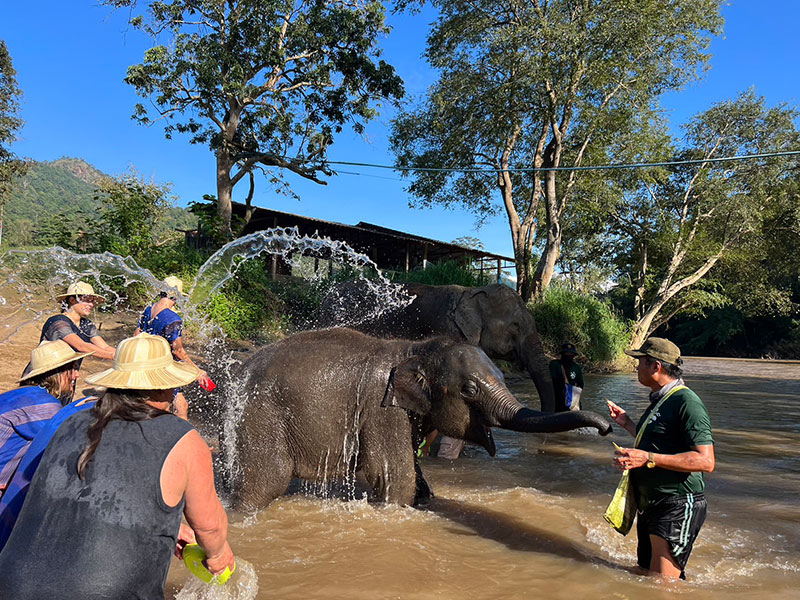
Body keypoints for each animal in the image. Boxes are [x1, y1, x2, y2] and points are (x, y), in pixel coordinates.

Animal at [229, 328, 612, 510]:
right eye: (470, 389)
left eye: (504, 378)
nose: (607, 427)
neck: (416, 348)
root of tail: (238, 371)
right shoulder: (381, 408)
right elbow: (395, 478)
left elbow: (417, 478)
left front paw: (427, 499)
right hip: (260, 414)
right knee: (267, 481)